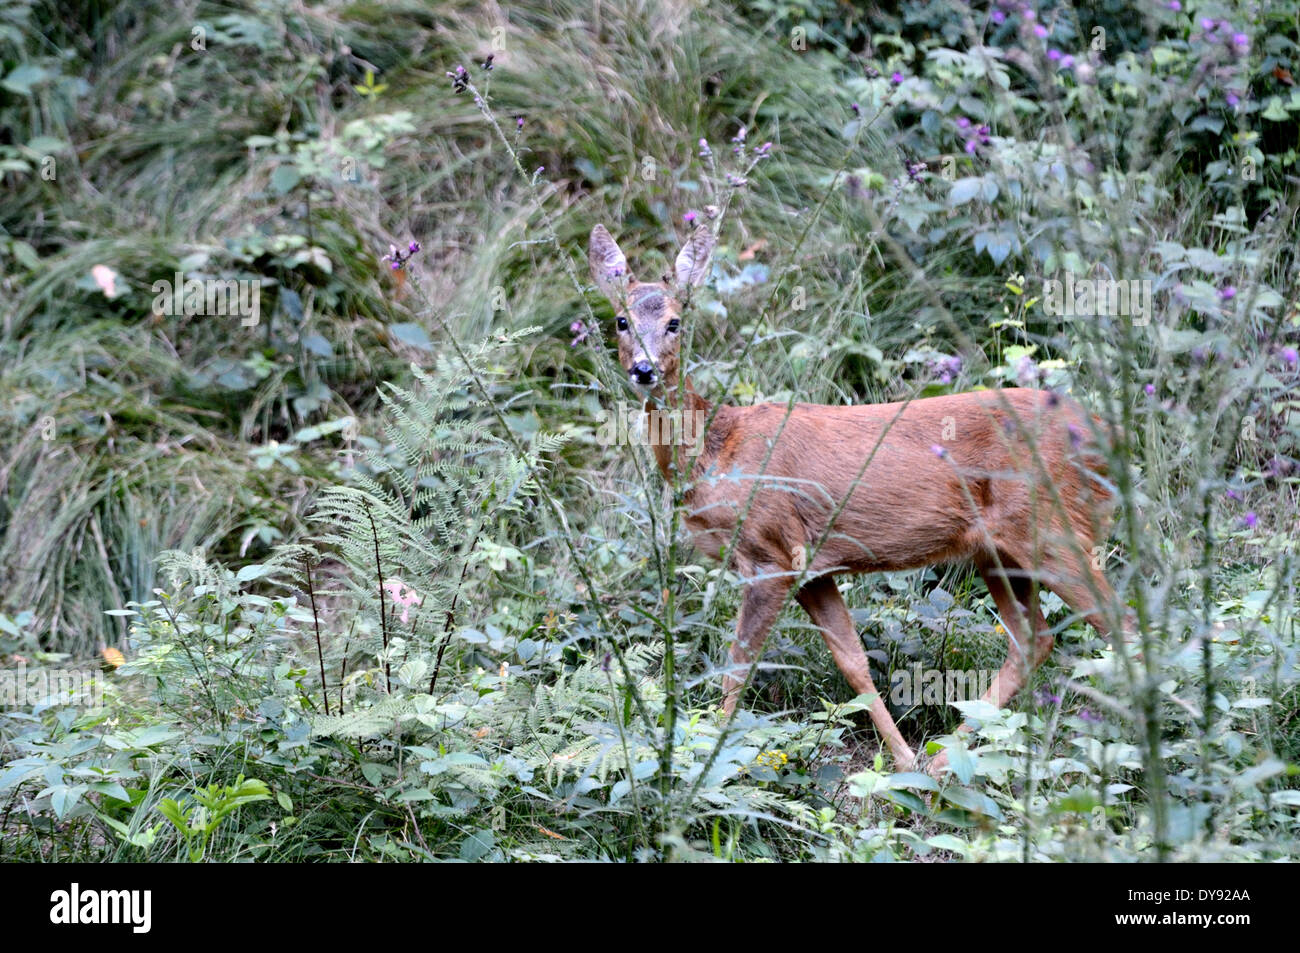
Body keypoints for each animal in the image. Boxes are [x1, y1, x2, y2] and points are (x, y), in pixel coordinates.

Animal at [588, 223, 1127, 775]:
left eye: (674, 322)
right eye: (621, 321)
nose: (644, 370)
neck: (718, 448)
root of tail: (1105, 434)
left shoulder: (768, 552)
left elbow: (737, 664)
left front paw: (707, 760)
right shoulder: (812, 566)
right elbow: (854, 663)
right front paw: (903, 761)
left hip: (1056, 529)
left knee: (1120, 623)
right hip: (1000, 552)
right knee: (1035, 639)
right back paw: (943, 759)